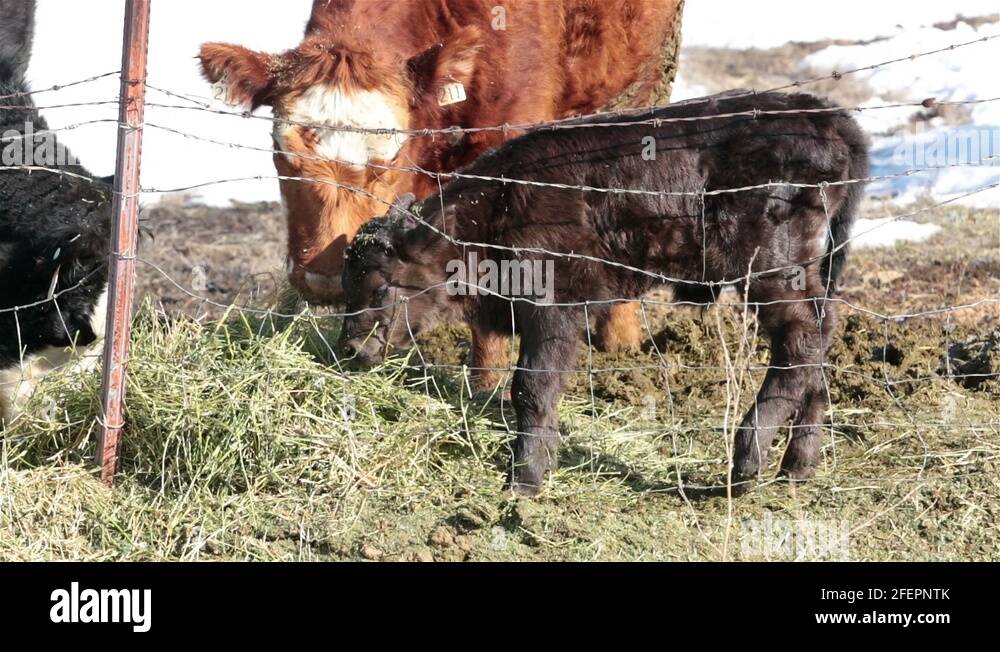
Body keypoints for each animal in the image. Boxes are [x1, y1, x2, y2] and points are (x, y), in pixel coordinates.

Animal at [336, 90, 870, 496]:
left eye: (379, 285)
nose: (350, 349)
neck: (496, 210)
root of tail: (827, 116)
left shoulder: (555, 309)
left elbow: (531, 386)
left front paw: (524, 479)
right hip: (807, 271)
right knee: (821, 336)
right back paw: (796, 467)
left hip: (770, 271)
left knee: (799, 339)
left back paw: (747, 462)